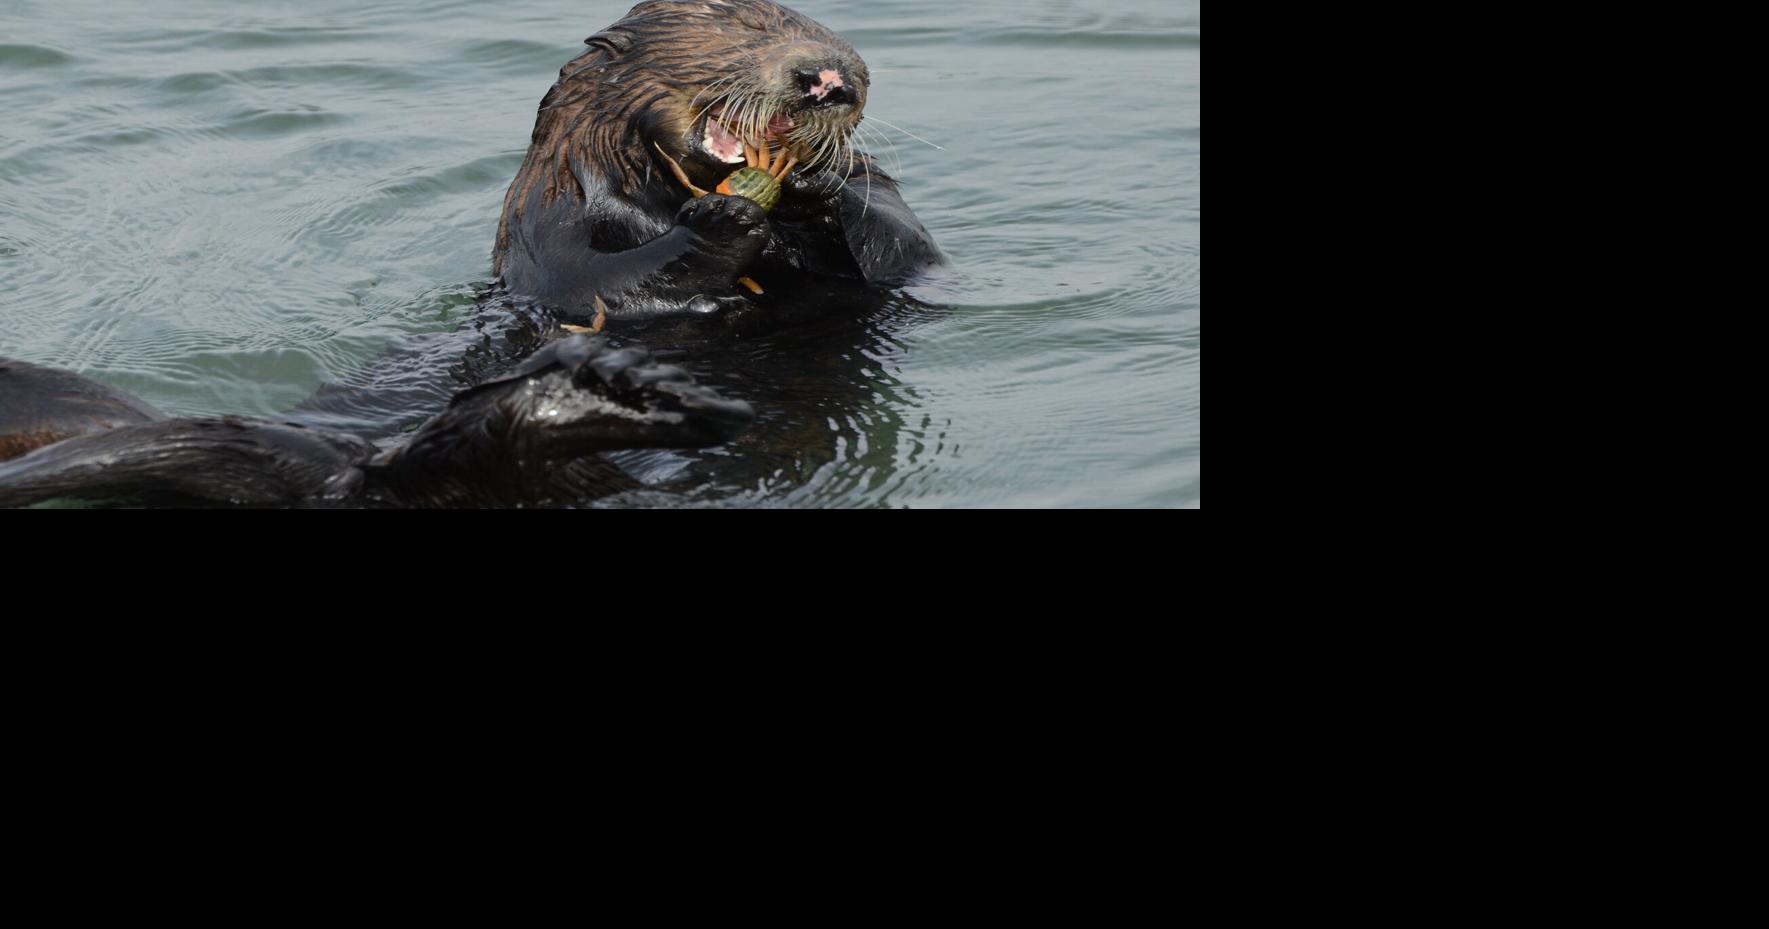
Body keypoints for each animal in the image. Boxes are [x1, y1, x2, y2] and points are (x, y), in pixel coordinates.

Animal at [495, 0, 942, 323]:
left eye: (864, 73)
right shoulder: (544, 220)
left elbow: (905, 242)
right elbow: (579, 283)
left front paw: (807, 185)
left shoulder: (880, 197)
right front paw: (723, 221)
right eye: (751, 28)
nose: (832, 80)